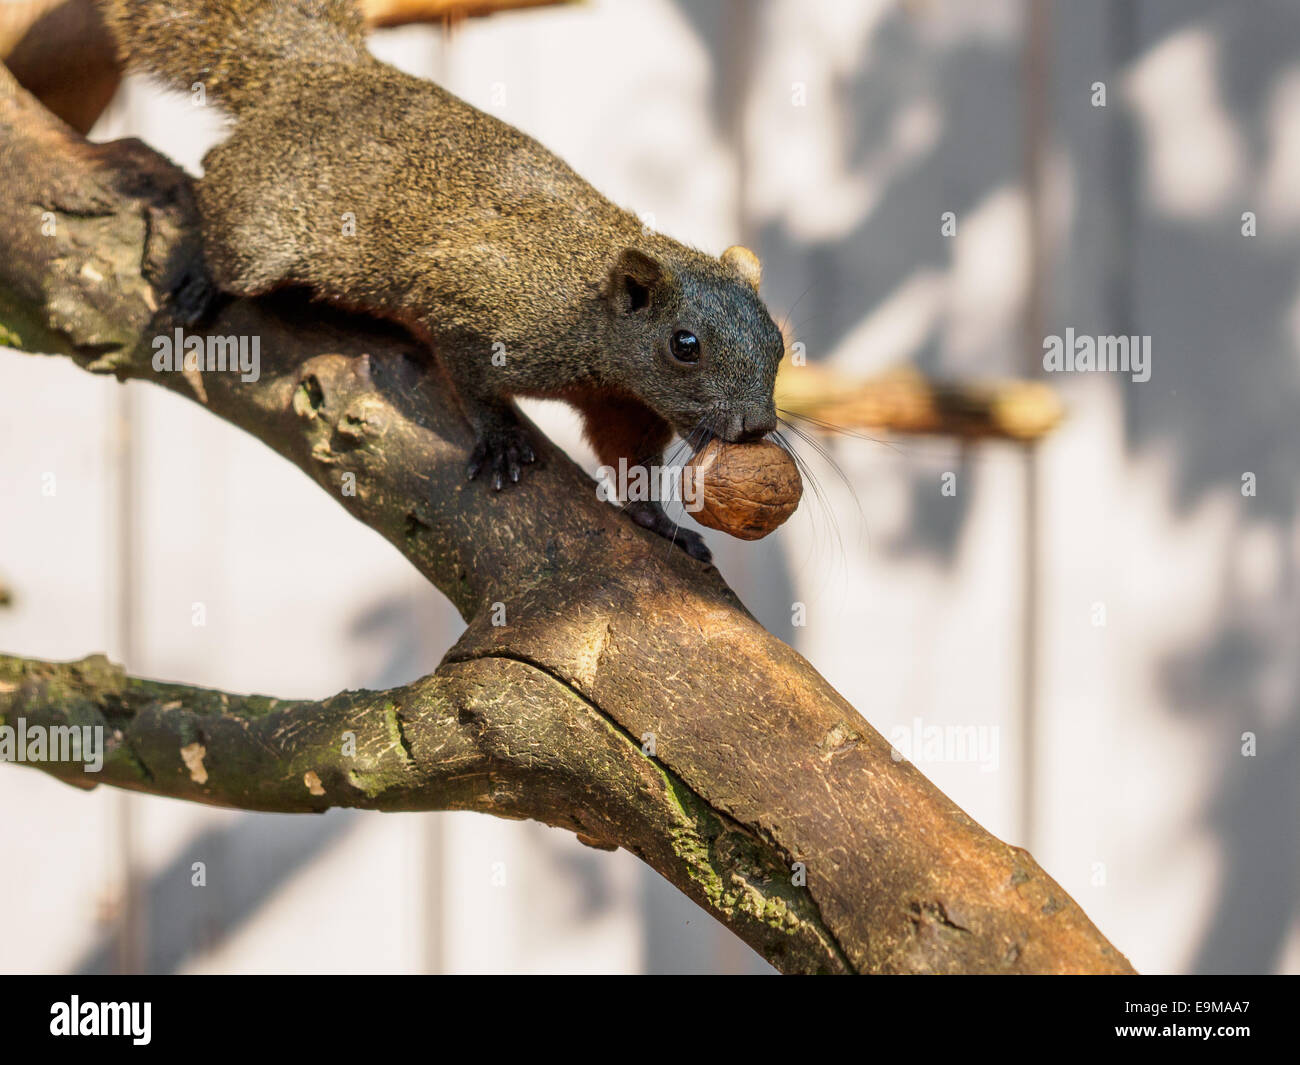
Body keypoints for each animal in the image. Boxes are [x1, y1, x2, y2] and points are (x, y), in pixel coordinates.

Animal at [99, 0, 786, 562]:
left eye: (779, 344)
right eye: (684, 345)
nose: (757, 426)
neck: (591, 318)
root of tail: (321, 73)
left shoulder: (623, 405)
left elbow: (627, 458)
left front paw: (658, 520)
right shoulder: (478, 306)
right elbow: (473, 380)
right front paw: (502, 439)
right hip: (264, 226)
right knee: (217, 180)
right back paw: (200, 278)